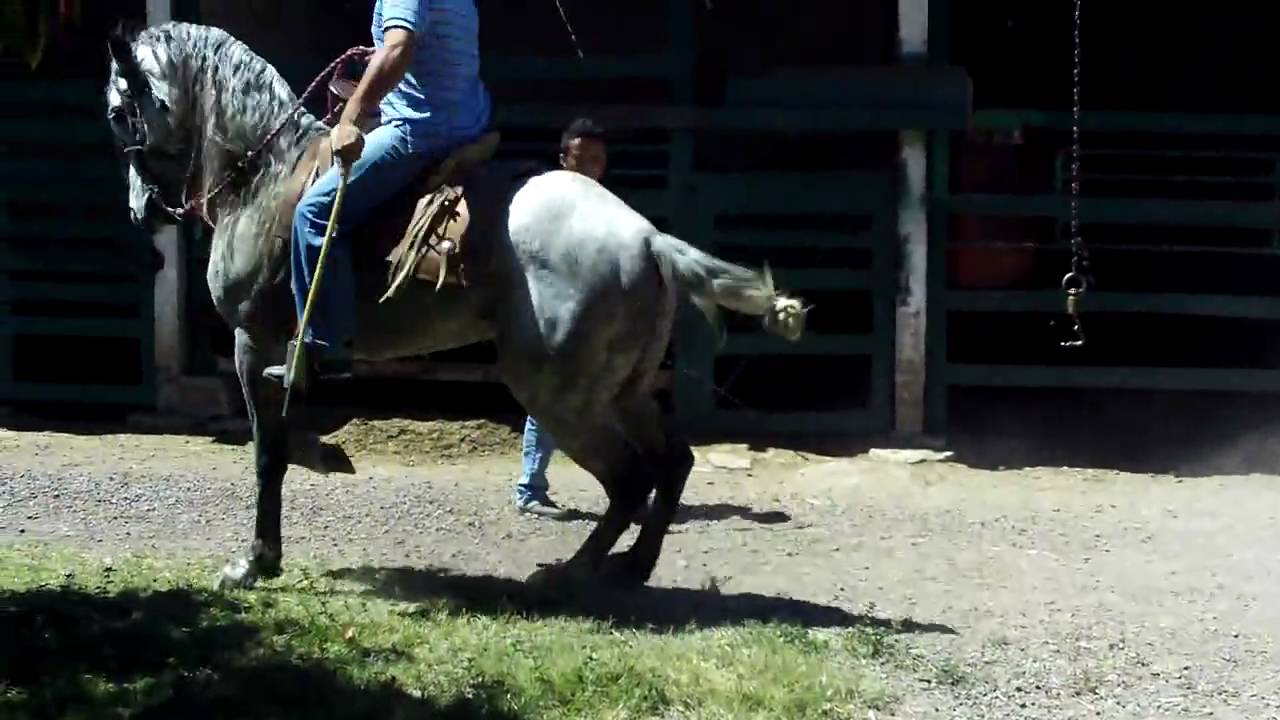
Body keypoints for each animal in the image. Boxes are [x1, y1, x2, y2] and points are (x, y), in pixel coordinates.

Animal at [103, 21, 809, 591]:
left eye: (116, 112)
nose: (140, 211)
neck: (266, 178)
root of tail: (646, 238)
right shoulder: (280, 351)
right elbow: (285, 430)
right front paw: (324, 458)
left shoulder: (256, 341)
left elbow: (267, 451)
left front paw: (255, 560)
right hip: (621, 388)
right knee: (672, 463)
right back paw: (631, 567)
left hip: (561, 394)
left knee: (631, 478)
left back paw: (571, 573)